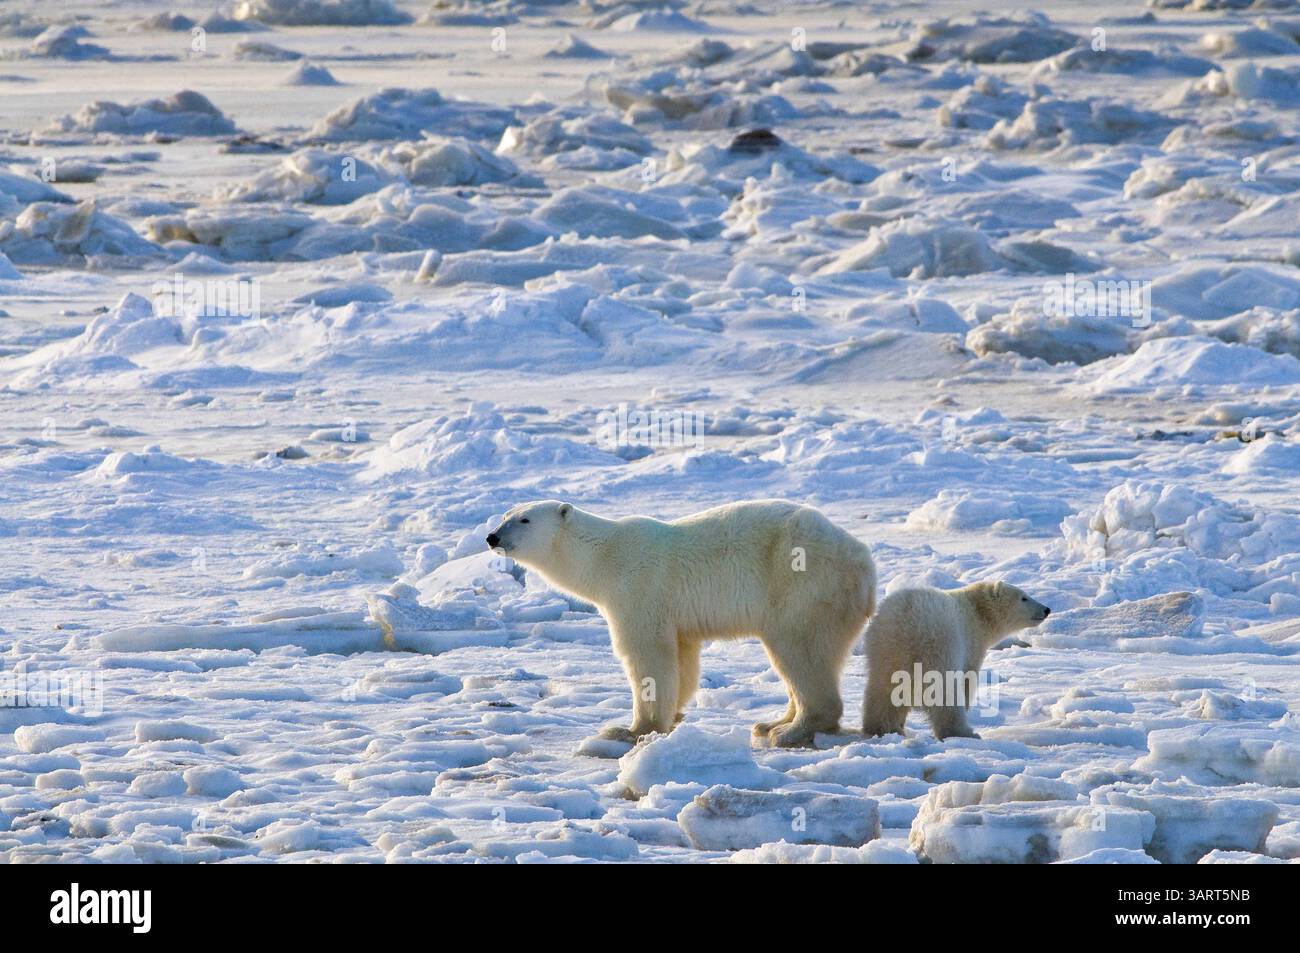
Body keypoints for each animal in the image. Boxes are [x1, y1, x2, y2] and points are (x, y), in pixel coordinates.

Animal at [486, 499, 877, 747]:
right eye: (504, 514)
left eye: (525, 520)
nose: (492, 537)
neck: (603, 557)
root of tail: (863, 563)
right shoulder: (674, 615)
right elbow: (682, 656)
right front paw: (672, 715)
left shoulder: (639, 589)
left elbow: (646, 654)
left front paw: (630, 730)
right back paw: (772, 722)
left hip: (802, 586)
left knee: (799, 649)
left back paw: (791, 731)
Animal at [861, 582, 1050, 741]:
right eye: (1024, 597)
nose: (1047, 609)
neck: (977, 610)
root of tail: (907, 621)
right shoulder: (971, 642)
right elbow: (967, 678)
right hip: (939, 643)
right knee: (943, 689)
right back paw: (962, 732)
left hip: (885, 648)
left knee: (883, 688)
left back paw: (882, 727)